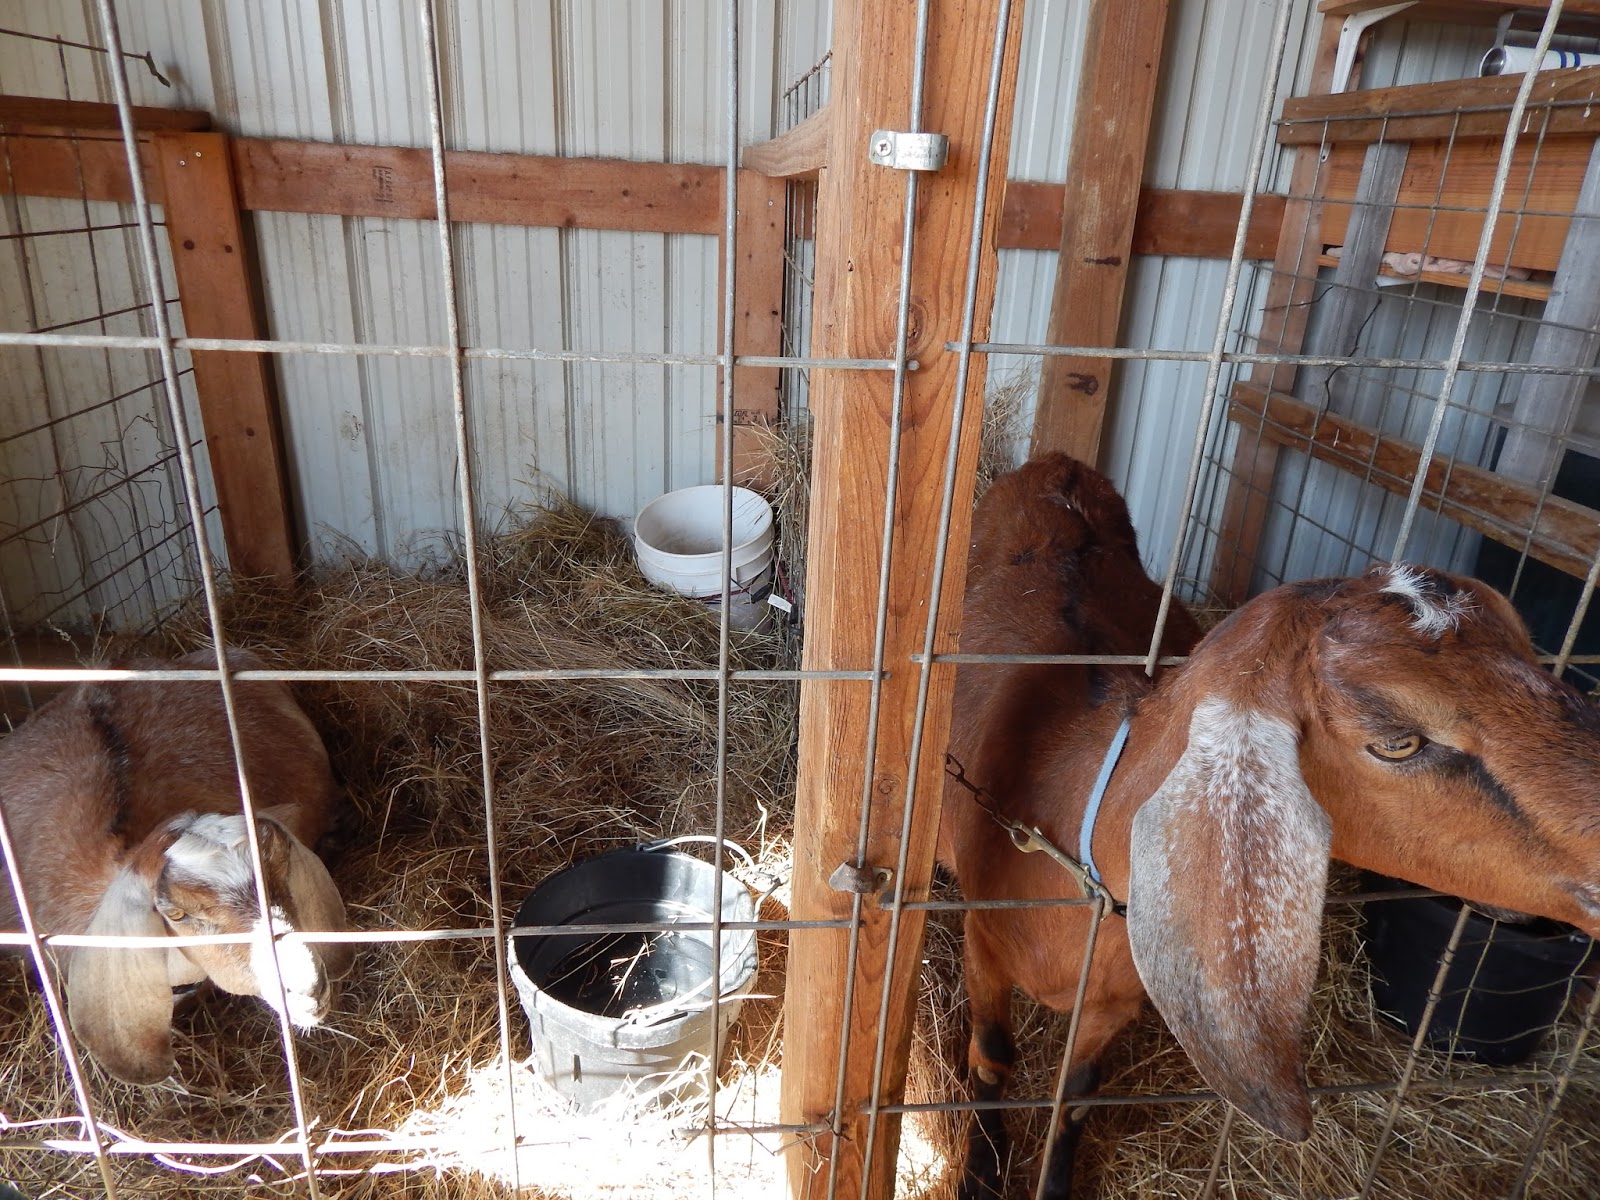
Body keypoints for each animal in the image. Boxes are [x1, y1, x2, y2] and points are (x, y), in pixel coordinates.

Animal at [938, 452, 1600, 1200]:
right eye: (1396, 740)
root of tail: (1060, 465)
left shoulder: (1113, 1001)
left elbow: (1076, 1092)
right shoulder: (983, 936)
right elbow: (992, 1057)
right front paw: (981, 1174)